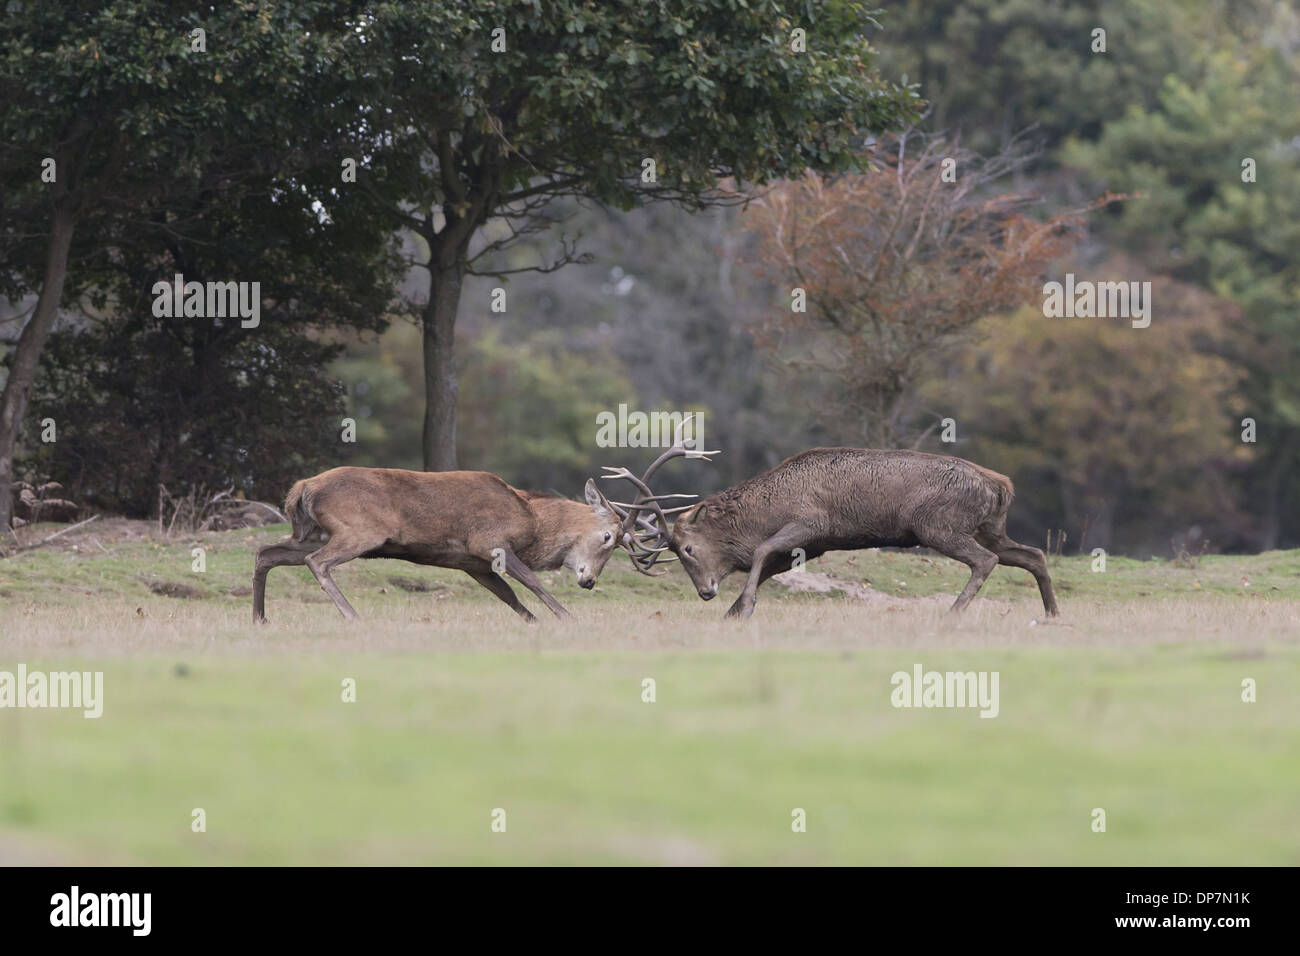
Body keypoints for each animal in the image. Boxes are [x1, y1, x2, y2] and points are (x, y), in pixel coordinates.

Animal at [252, 467, 634, 624]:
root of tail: (302, 487)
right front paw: (567, 617)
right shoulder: (490, 541)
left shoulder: (472, 564)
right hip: (359, 530)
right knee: (317, 561)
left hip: (311, 533)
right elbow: (532, 582)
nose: (589, 581)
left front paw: (536, 623)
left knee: (265, 552)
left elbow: (509, 597)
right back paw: (352, 615)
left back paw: (260, 618)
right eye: (608, 538)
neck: (531, 523)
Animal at [606, 446, 1059, 621]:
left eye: (686, 548)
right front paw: (733, 611)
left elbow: (763, 551)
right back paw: (1053, 613)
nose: (705, 592)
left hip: (939, 525)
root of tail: (1001, 485)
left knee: (987, 560)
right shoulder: (818, 545)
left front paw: (744, 607)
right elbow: (769, 567)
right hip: (989, 528)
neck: (766, 509)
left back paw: (952, 613)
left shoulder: (812, 522)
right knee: (1032, 554)